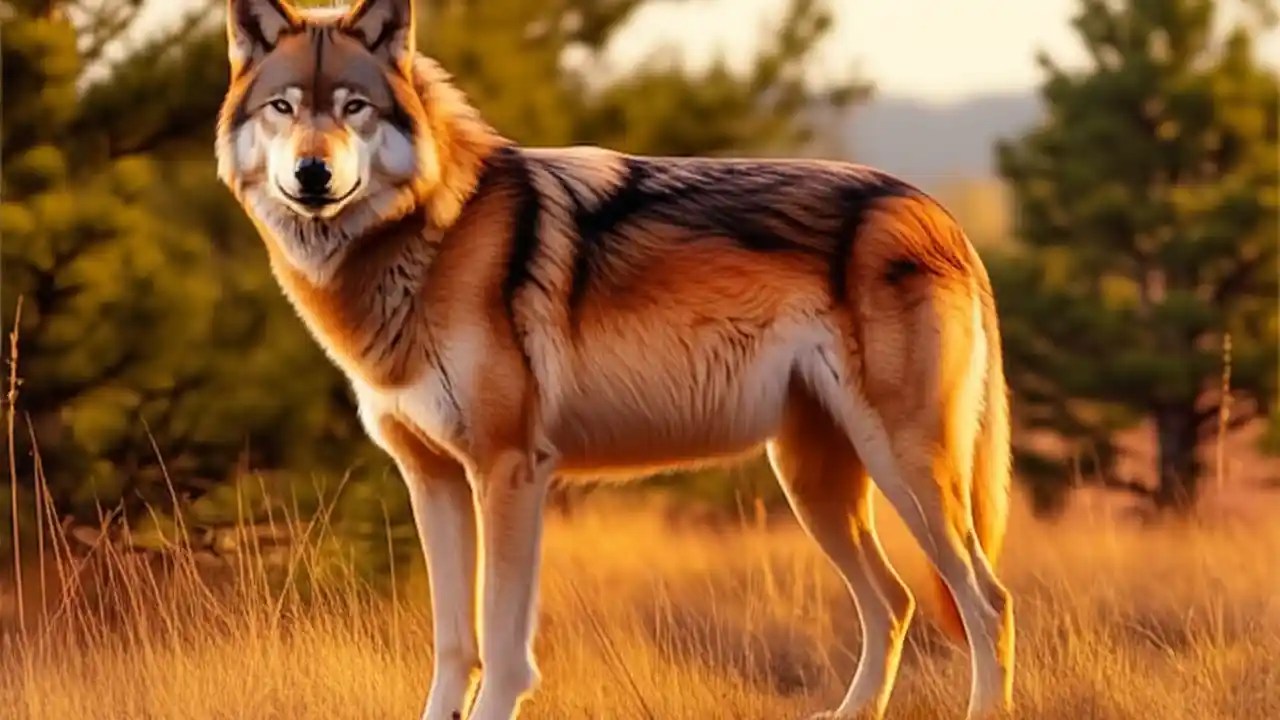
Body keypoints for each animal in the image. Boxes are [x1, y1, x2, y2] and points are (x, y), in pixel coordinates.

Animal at [215, 1, 1016, 718]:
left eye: (354, 108)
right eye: (285, 107)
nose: (312, 174)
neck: (429, 238)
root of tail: (939, 212)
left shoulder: (510, 472)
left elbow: (501, 648)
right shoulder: (432, 478)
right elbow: (453, 648)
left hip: (903, 471)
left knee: (986, 602)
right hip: (813, 484)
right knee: (895, 601)